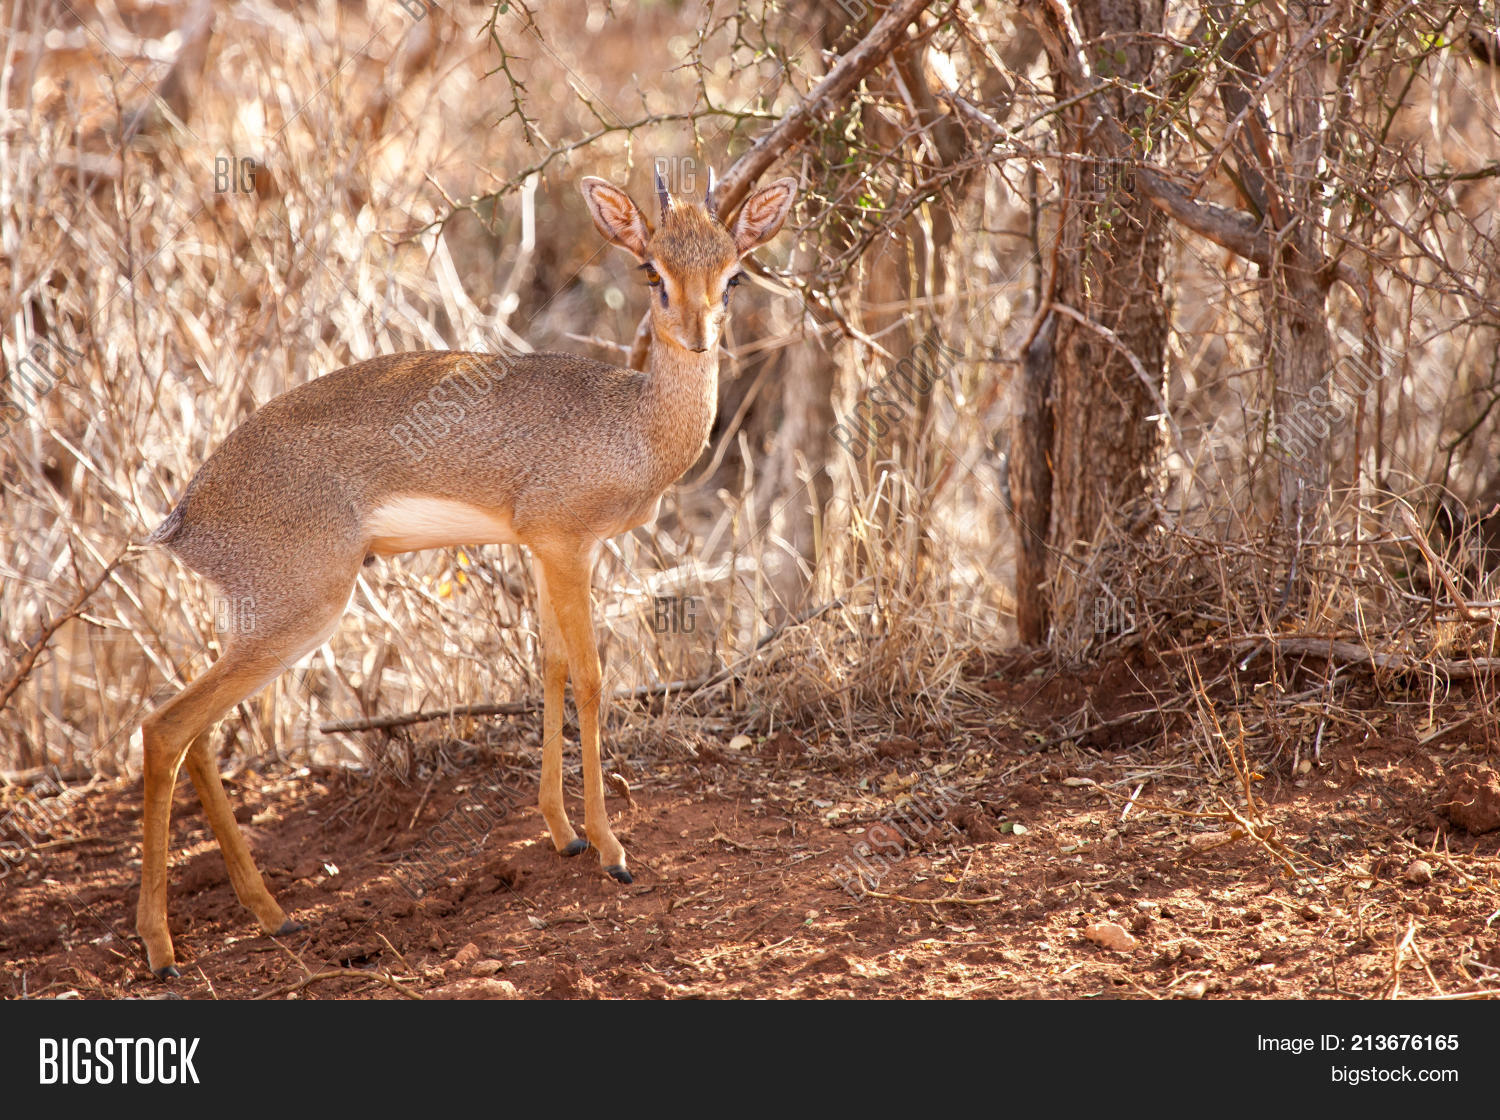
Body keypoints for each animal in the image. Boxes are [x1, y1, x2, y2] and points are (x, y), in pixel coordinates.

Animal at [135, 167, 798, 977]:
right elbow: (590, 679)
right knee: (165, 728)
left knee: (197, 736)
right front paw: (611, 850)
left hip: (269, 623)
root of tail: (185, 514)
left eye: (734, 274)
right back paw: (163, 947)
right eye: (653, 272)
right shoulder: (567, 546)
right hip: (301, 612)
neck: (633, 426)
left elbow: (550, 669)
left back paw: (269, 913)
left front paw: (563, 833)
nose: (700, 336)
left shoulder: (548, 551)